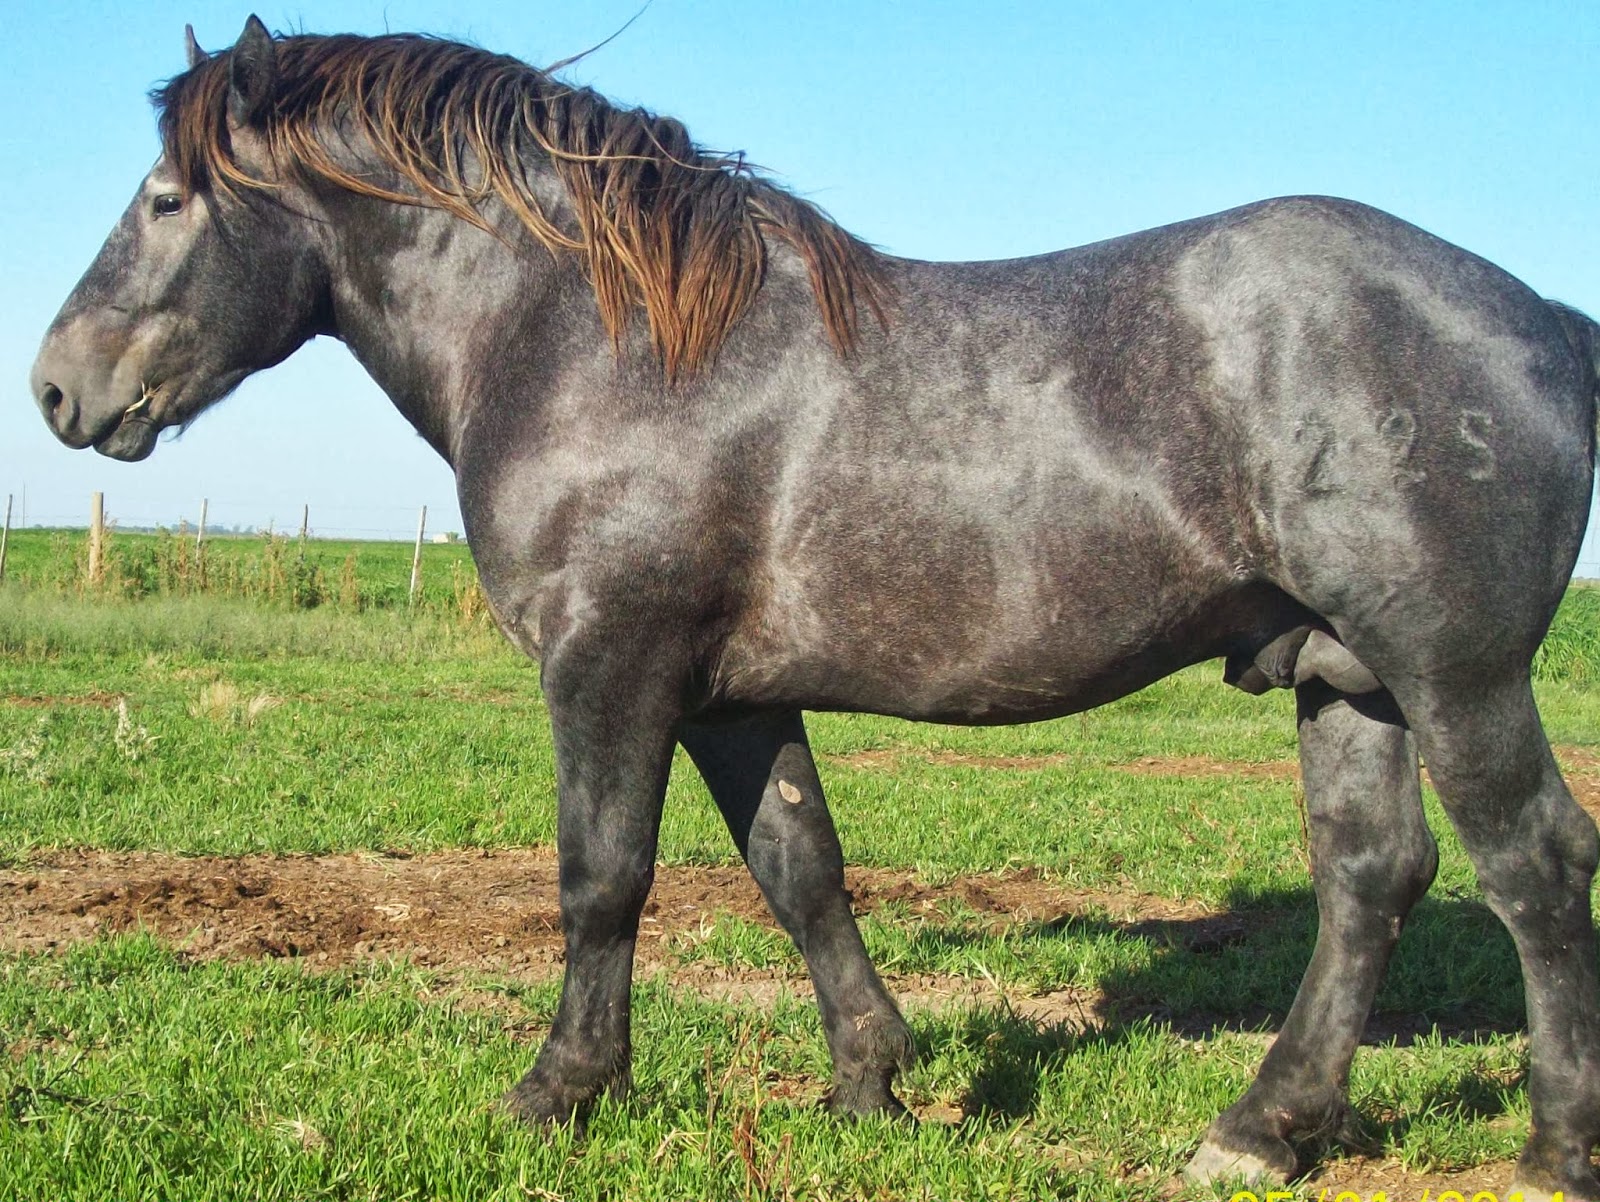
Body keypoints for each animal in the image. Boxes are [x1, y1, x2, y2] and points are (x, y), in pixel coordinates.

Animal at [30, 17, 1600, 1199]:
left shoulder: (610, 668)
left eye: (166, 199)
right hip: (1347, 676)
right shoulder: (732, 695)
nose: (56, 387)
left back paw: (1548, 1150)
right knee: (1370, 879)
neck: (598, 339)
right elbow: (800, 868)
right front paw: (871, 1081)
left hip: (1456, 678)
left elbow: (603, 877)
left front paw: (557, 1090)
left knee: (1532, 868)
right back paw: (1261, 1129)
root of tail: (1542, 318)